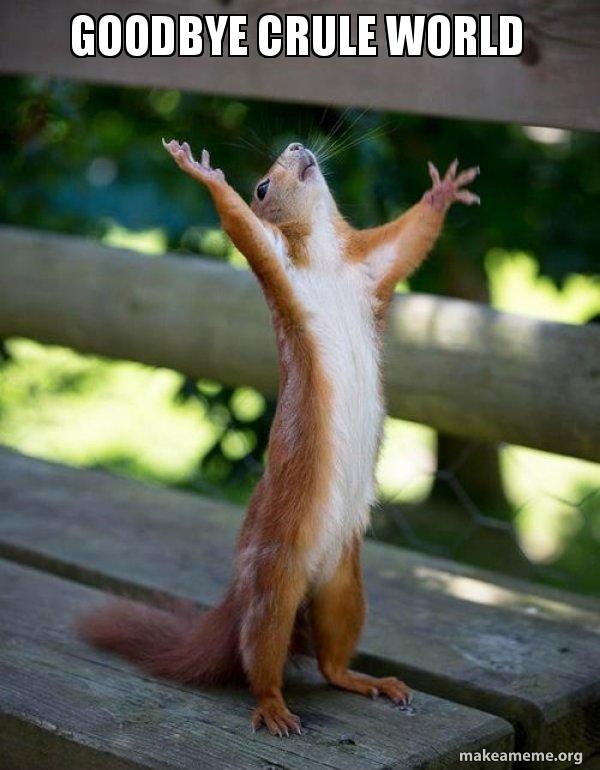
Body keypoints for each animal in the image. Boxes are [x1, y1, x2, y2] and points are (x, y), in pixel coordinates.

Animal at [78, 138, 479, 737]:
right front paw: (204, 174)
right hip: (274, 582)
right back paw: (273, 707)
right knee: (260, 657)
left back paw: (368, 681)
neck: (327, 258)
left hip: (344, 586)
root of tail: (239, 596)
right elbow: (241, 227)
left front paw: (443, 191)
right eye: (262, 186)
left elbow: (408, 241)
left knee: (332, 660)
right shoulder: (277, 265)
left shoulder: (371, 267)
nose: (296, 146)